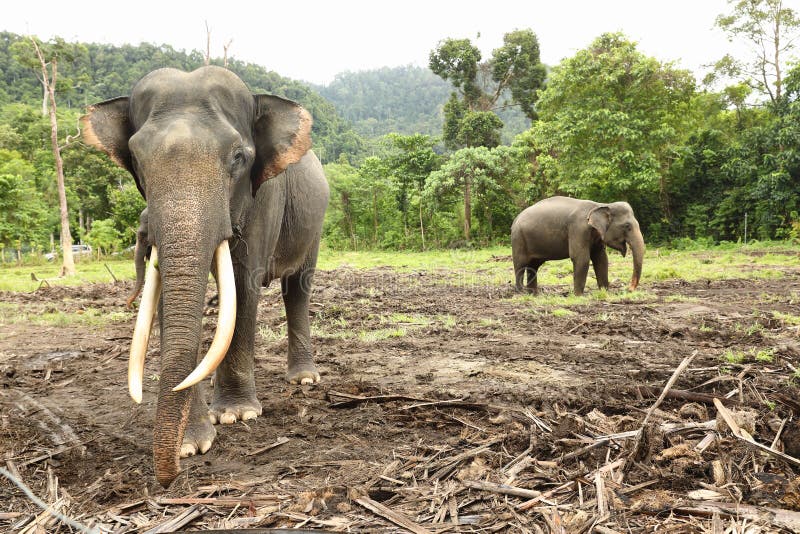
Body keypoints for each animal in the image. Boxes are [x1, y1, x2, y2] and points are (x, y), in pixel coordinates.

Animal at [82, 66, 329, 487]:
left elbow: (244, 286)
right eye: (137, 159)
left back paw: (304, 379)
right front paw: (191, 443)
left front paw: (236, 414)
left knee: (297, 288)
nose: (170, 478)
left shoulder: (264, 198)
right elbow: (167, 298)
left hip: (313, 225)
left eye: (238, 157)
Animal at [511, 196, 644, 295]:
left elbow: (601, 259)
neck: (600, 205)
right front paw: (579, 296)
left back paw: (533, 294)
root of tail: (516, 219)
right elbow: (581, 258)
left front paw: (605, 293)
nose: (629, 289)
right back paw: (521, 293)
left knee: (533, 266)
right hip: (518, 239)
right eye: (627, 226)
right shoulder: (578, 229)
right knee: (520, 264)